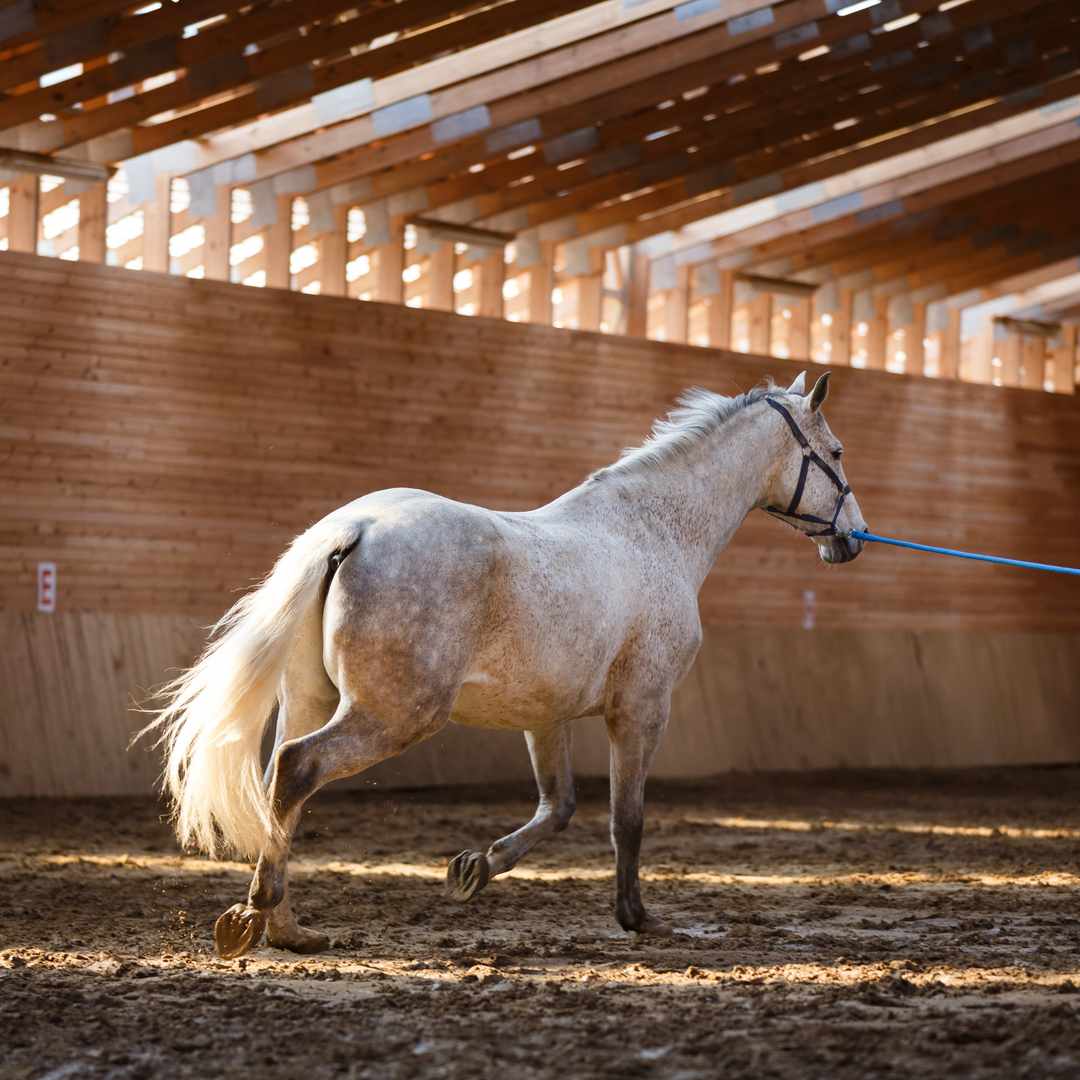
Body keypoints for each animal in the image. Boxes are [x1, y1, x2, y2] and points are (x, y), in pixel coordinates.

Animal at [150, 369, 866, 960]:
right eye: (834, 454)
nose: (852, 539)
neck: (655, 532)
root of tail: (354, 530)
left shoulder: (546, 718)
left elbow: (560, 807)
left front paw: (474, 868)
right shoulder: (641, 711)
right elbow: (625, 819)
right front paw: (637, 918)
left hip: (314, 699)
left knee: (279, 781)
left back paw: (290, 931)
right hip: (397, 716)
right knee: (299, 767)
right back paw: (258, 915)